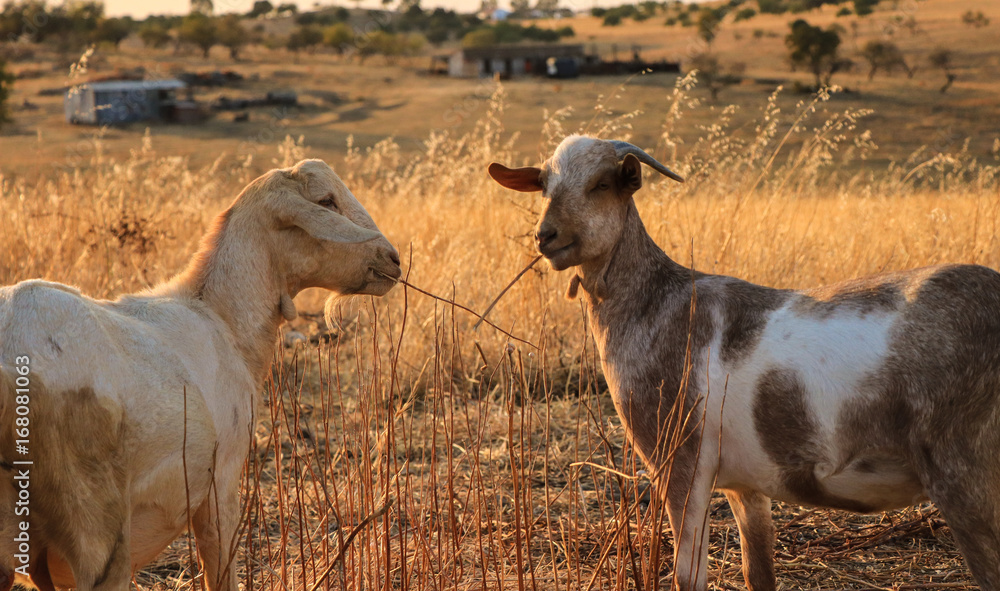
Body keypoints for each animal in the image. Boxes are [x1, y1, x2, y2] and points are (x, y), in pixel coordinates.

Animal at [488, 134, 1000, 591]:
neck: (657, 304)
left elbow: (688, 576)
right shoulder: (744, 484)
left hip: (966, 474)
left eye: (601, 184)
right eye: (544, 184)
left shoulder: (682, 461)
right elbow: (759, 574)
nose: (546, 236)